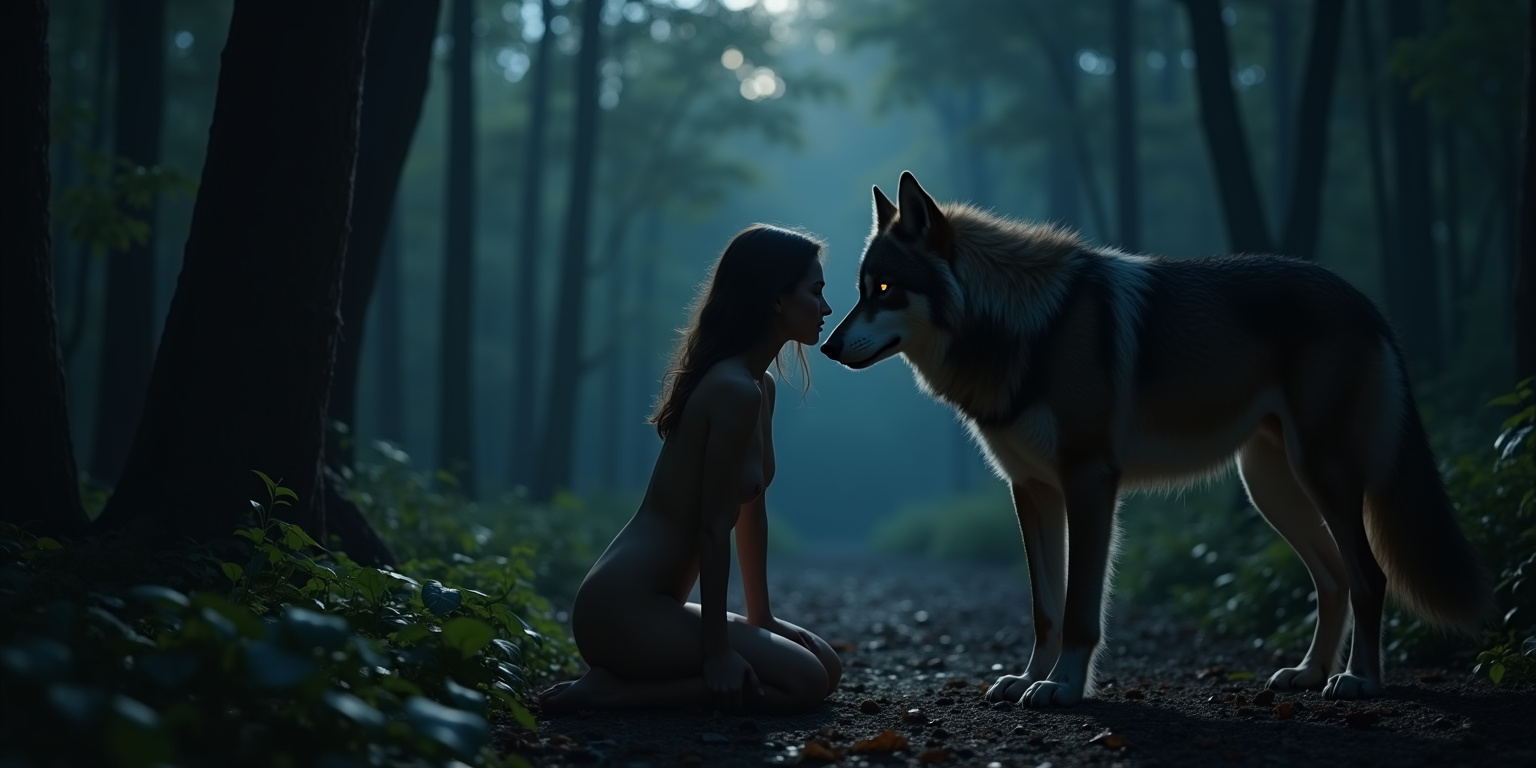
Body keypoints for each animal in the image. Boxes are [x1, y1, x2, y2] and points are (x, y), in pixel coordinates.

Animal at [820, 171, 1494, 707]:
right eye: (861, 289)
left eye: (885, 289)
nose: (827, 345)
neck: (1027, 328)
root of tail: (1365, 302)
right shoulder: (1032, 490)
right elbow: (1044, 609)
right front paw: (1028, 679)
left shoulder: (1089, 481)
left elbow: (1079, 608)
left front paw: (1063, 688)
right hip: (1271, 488)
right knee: (1333, 580)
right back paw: (1307, 673)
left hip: (1321, 476)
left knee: (1370, 577)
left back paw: (1360, 681)